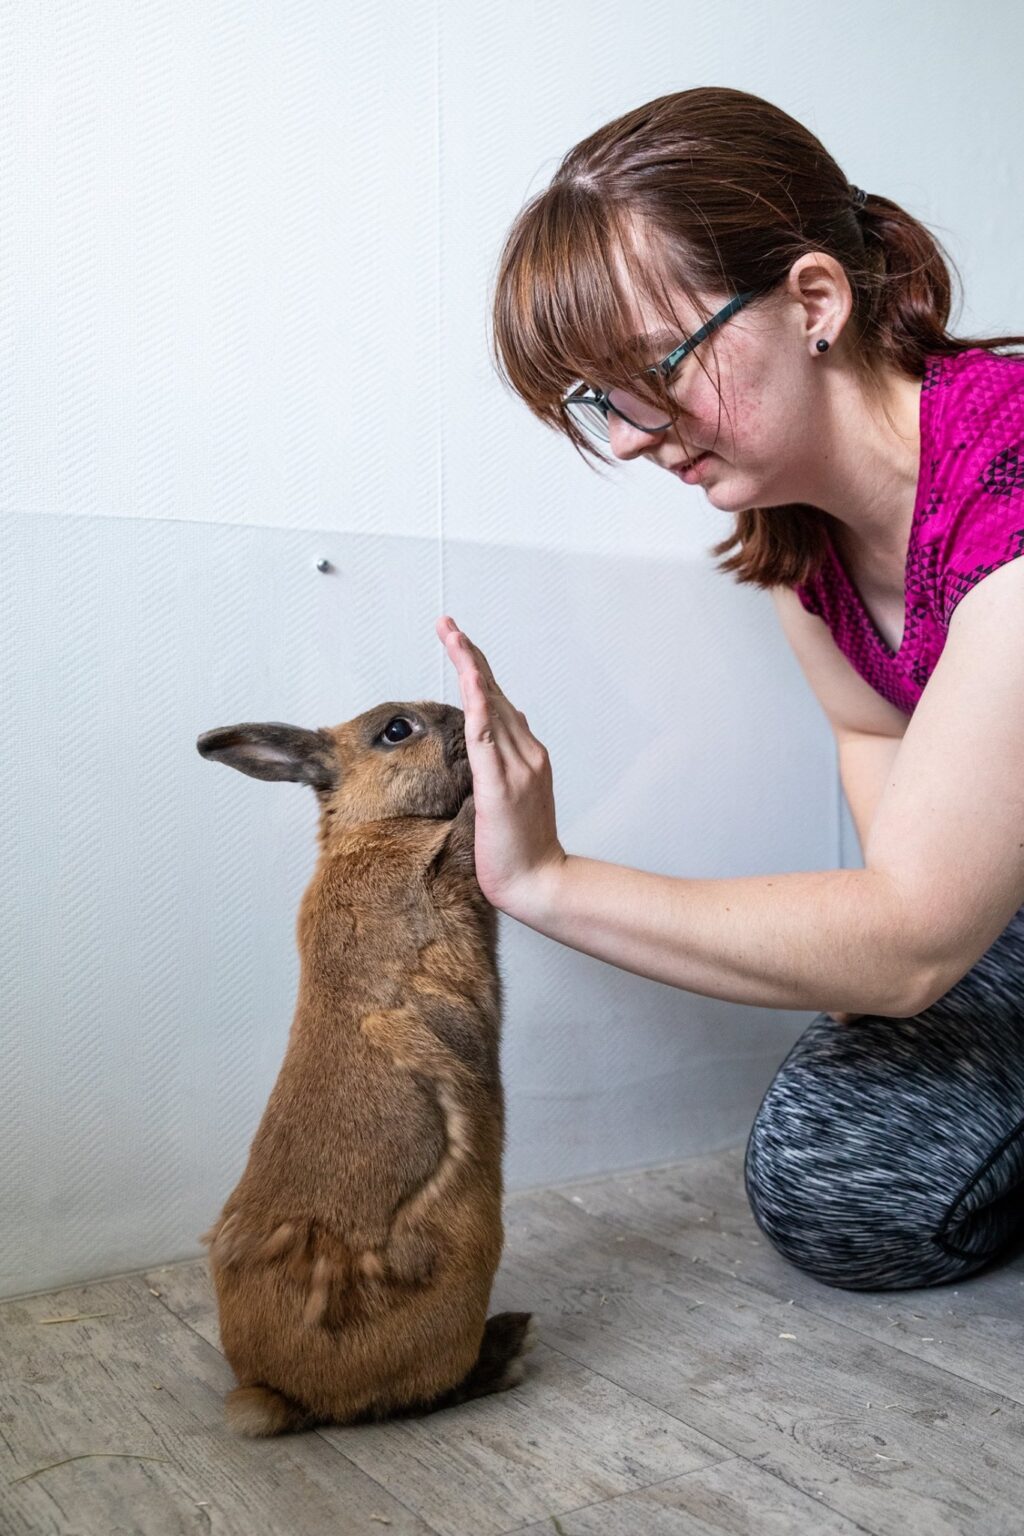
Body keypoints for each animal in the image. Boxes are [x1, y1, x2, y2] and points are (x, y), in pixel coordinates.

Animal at [195, 700, 535, 1436]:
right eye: (396, 730)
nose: (464, 719)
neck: (375, 829)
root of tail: (288, 1394)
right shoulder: (438, 873)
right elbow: (464, 836)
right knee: (427, 1393)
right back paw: (506, 1350)